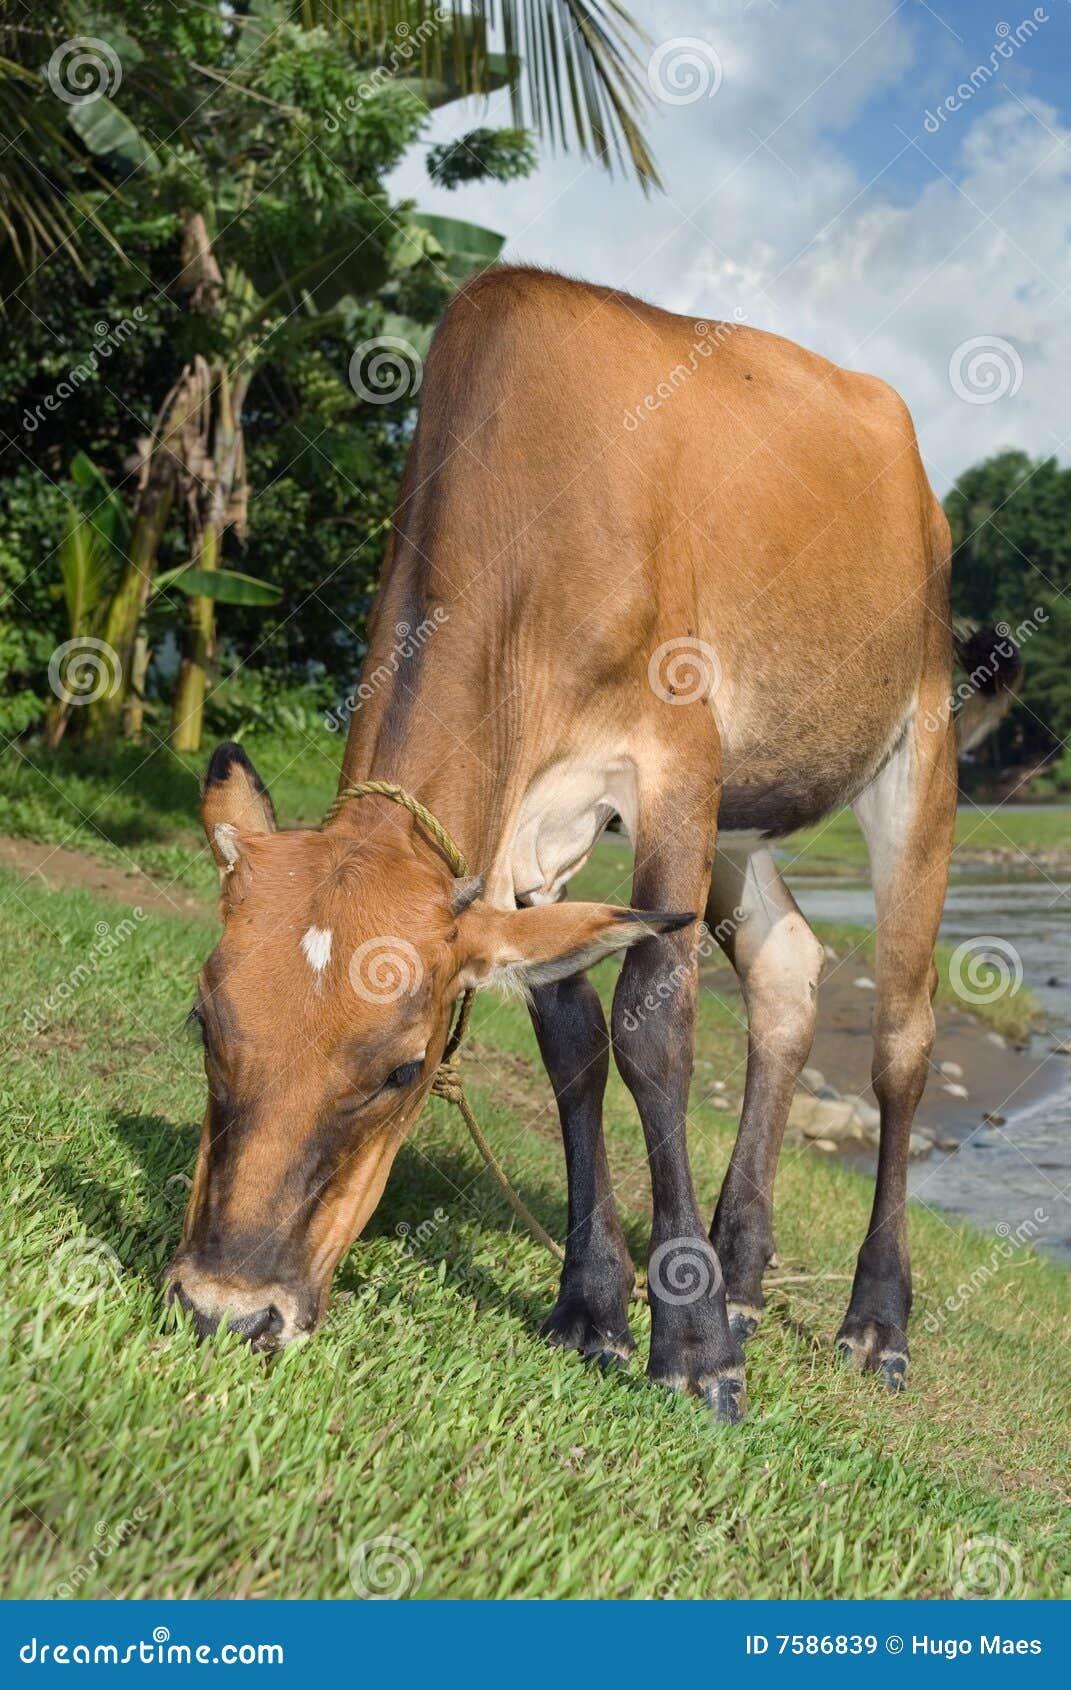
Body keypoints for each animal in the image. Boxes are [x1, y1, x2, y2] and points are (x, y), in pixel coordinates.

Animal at [167, 266, 1015, 1421]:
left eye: (401, 1067)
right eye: (204, 1021)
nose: (226, 1305)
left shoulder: (676, 756)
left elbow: (653, 1024)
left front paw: (692, 1349)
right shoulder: (524, 836)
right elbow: (571, 1039)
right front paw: (596, 1308)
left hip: (915, 747)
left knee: (902, 1030)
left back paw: (874, 1316)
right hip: (745, 818)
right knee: (788, 969)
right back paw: (741, 1275)